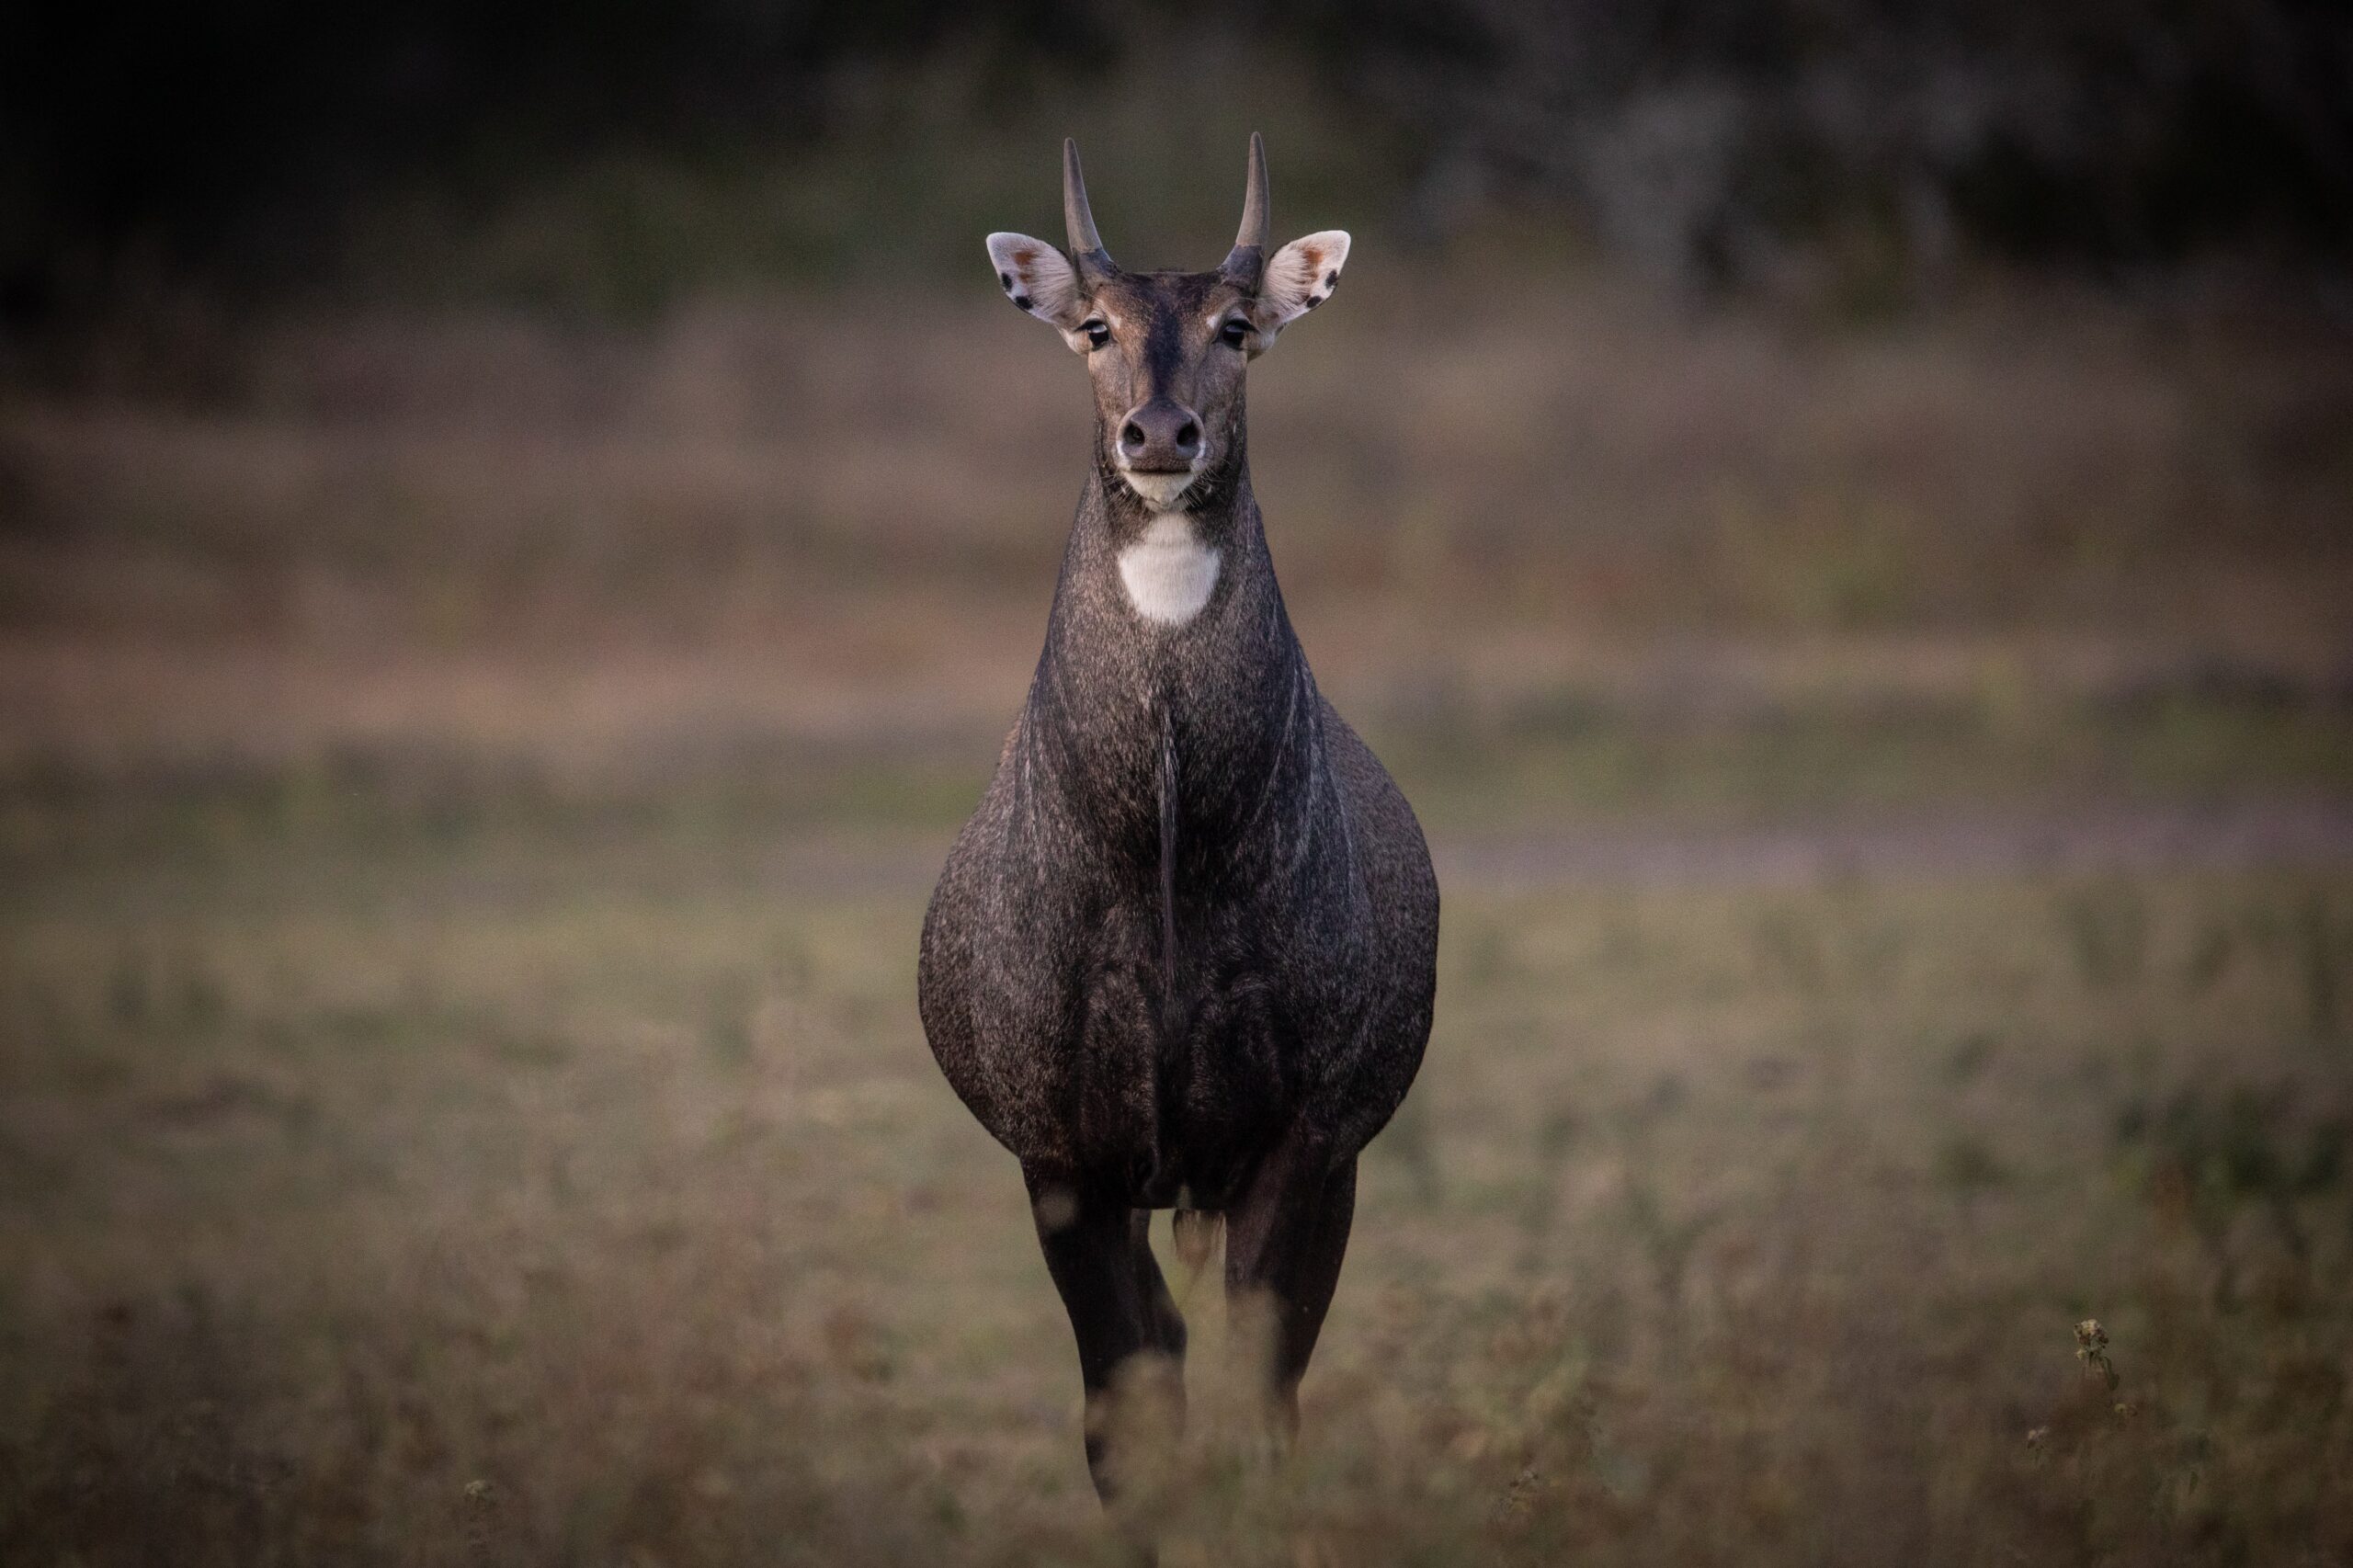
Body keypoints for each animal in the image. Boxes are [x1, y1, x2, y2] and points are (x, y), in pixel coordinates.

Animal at [917, 135, 1439, 1507]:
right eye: (1094, 326)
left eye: (1236, 326)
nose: (1161, 431)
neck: (1161, 857)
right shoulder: (1060, 1159)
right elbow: (1126, 1415)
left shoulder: (1301, 1135)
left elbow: (1258, 1404)